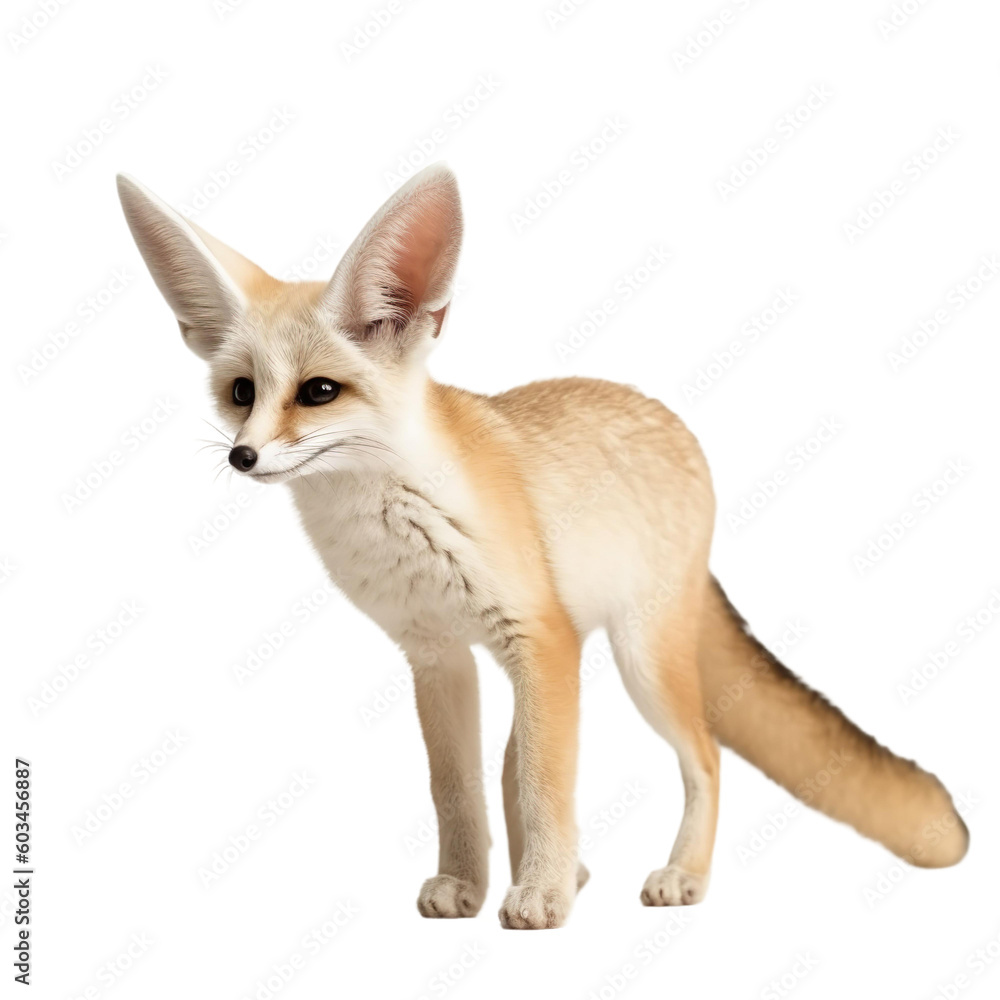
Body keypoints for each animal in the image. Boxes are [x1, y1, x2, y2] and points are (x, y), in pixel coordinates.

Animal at [116, 163, 968, 929]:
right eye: (242, 393)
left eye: (318, 392)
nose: (243, 456)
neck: (391, 522)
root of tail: (670, 421)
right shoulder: (438, 655)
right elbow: (458, 790)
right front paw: (467, 885)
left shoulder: (535, 634)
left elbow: (546, 788)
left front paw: (543, 900)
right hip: (561, 664)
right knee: (517, 770)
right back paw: (573, 870)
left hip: (635, 659)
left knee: (704, 757)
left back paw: (676, 876)